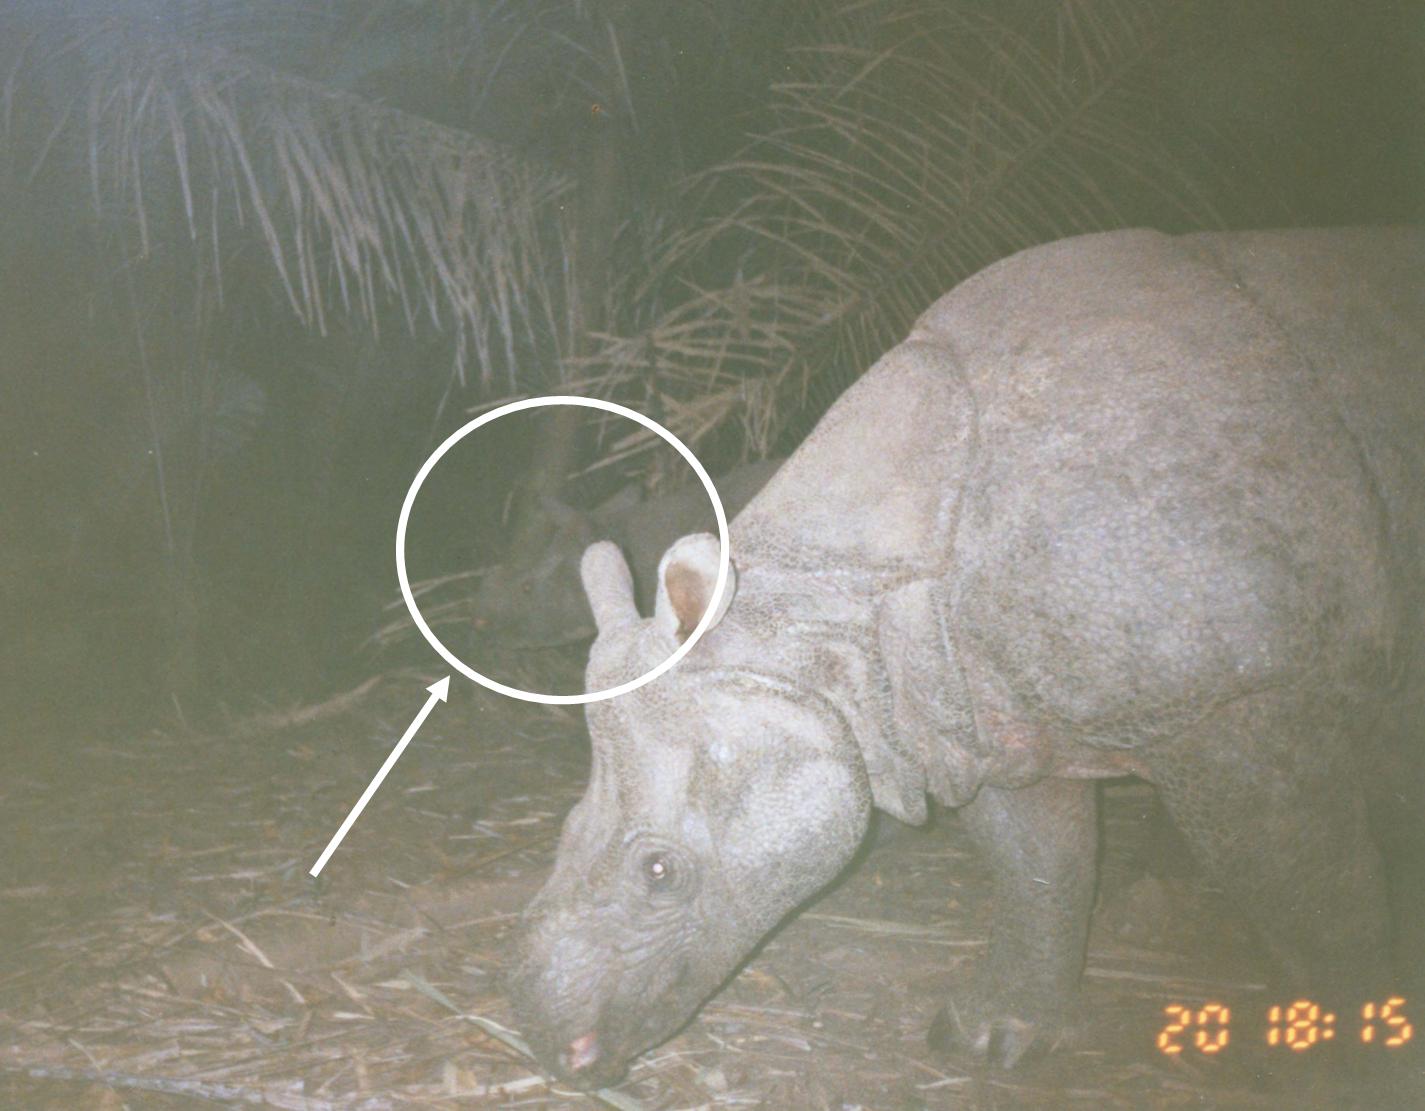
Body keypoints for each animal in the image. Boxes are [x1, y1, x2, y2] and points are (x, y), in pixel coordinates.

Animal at [508, 227, 1425, 1088]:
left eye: (659, 870)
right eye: (565, 829)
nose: (547, 1042)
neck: (819, 617)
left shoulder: (1240, 695)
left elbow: (1310, 888)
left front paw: (1341, 1064)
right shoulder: (968, 707)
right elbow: (1041, 868)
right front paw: (990, 1037)